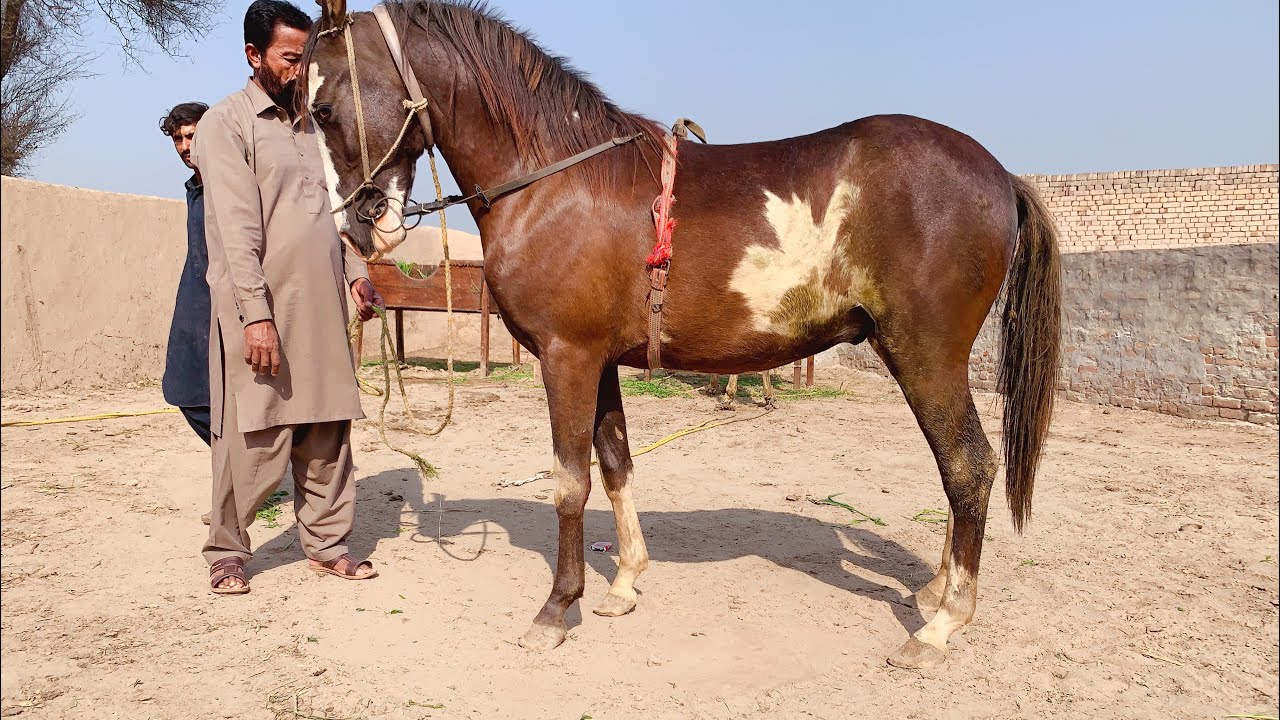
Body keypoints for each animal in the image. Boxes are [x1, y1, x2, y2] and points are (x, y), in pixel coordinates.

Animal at [299, 0, 1062, 669]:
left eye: (323, 108)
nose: (359, 226)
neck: (556, 179)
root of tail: (1000, 175)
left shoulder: (566, 358)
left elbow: (569, 481)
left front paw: (557, 609)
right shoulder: (600, 360)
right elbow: (615, 464)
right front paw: (623, 584)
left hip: (927, 357)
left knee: (968, 466)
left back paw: (941, 625)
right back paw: (935, 590)